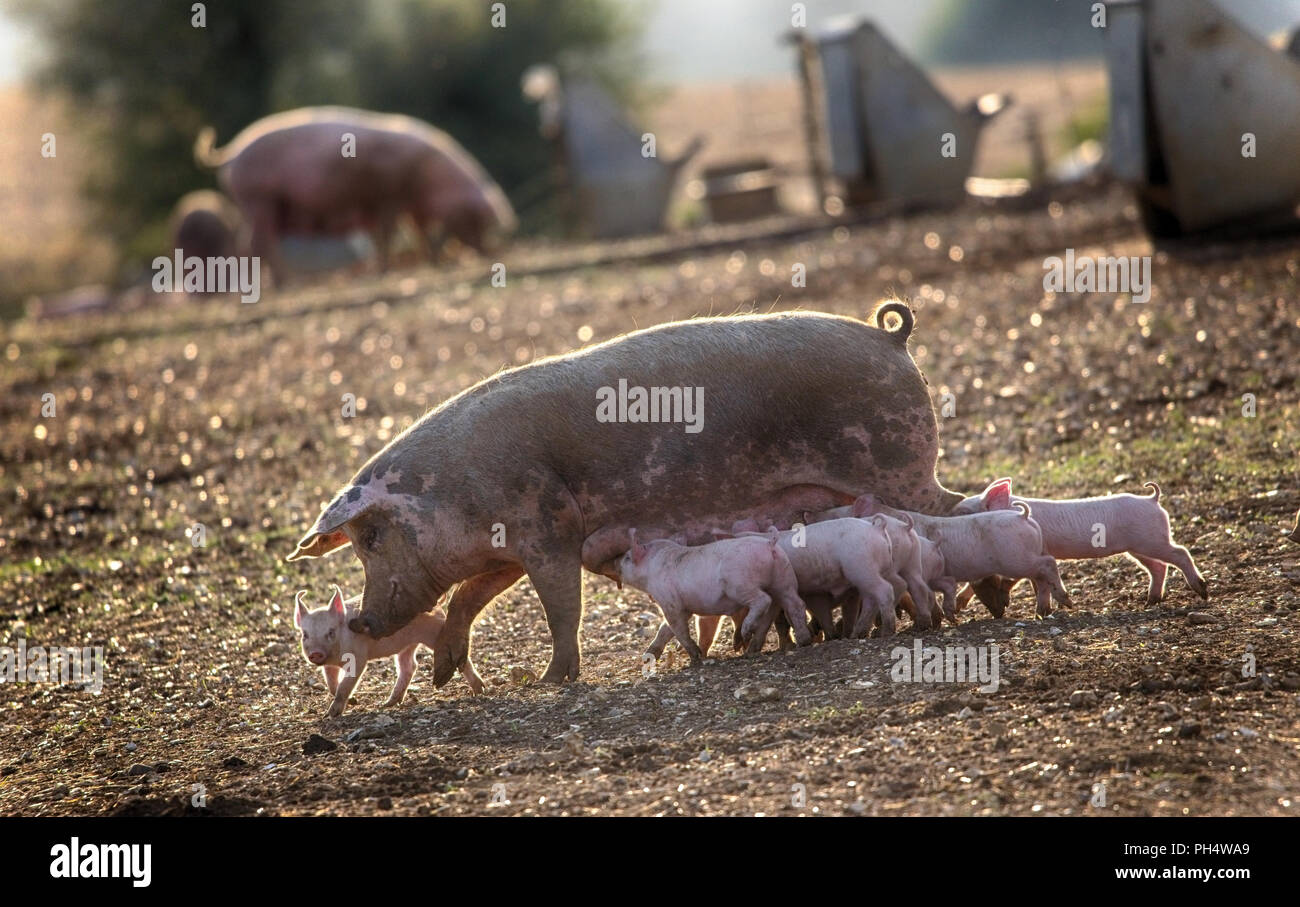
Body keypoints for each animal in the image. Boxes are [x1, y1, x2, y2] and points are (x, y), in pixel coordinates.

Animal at [195, 106, 516, 283]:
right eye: (478, 220)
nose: (490, 253)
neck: (425, 178)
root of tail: (230, 152)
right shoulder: (388, 197)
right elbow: (389, 234)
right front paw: (386, 271)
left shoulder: (406, 205)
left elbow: (417, 233)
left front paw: (433, 262)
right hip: (259, 199)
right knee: (258, 243)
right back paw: (285, 283)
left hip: (253, 205)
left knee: (248, 244)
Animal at [294, 586, 483, 717]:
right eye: (305, 635)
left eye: (331, 632)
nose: (316, 653)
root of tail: (436, 603)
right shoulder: (329, 665)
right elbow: (332, 683)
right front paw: (351, 701)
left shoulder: (358, 657)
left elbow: (346, 684)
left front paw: (331, 714)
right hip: (406, 645)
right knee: (409, 665)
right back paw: (389, 703)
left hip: (434, 632)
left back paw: (479, 691)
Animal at [619, 529, 810, 664]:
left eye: (627, 557)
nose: (616, 564)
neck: (652, 568)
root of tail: (770, 543)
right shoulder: (684, 608)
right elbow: (665, 629)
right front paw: (648, 656)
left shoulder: (669, 601)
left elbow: (677, 628)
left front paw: (695, 657)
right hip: (784, 577)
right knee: (794, 604)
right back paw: (803, 641)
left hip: (740, 584)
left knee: (763, 600)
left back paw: (747, 633)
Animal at [845, 494, 1073, 620]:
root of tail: (1023, 516)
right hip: (1027, 557)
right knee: (1041, 577)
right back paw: (1042, 612)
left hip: (1017, 560)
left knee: (1049, 563)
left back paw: (1065, 602)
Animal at [949, 479, 1207, 608]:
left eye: (962, 511)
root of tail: (1152, 500)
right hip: (1138, 548)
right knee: (1158, 567)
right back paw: (1150, 601)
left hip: (1152, 540)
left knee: (1180, 553)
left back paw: (1202, 591)